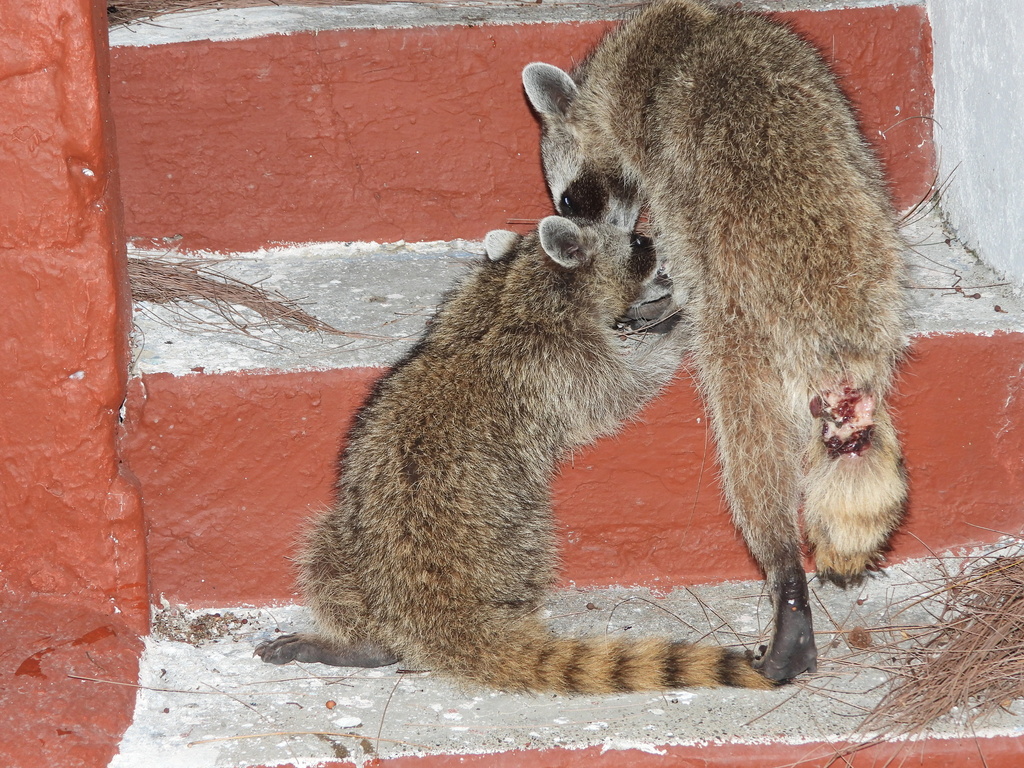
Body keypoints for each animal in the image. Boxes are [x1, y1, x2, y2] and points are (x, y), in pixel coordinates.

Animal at [255, 217, 774, 693]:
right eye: (641, 242)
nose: (669, 252)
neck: (522, 287)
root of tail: (433, 607)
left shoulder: (468, 299)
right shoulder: (563, 365)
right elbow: (625, 391)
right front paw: (674, 329)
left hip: (352, 540)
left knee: (322, 548)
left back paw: (359, 641)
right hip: (521, 535)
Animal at [523, 0, 908, 681]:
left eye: (569, 198)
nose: (571, 243)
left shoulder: (660, 145)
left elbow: (681, 248)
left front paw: (665, 296)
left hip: (747, 335)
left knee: (749, 445)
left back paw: (784, 576)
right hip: (878, 292)